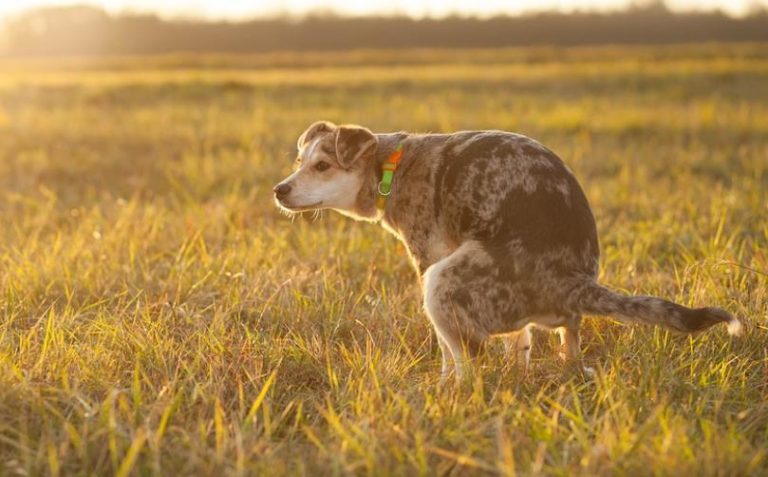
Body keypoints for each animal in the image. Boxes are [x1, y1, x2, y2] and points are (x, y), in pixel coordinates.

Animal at [272, 122, 744, 380]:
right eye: (298, 162)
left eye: (322, 166)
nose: (279, 189)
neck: (391, 166)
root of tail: (572, 281)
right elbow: (520, 343)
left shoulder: (428, 258)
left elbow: (447, 353)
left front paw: (442, 385)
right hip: (552, 318)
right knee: (567, 342)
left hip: (442, 282)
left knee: (469, 364)